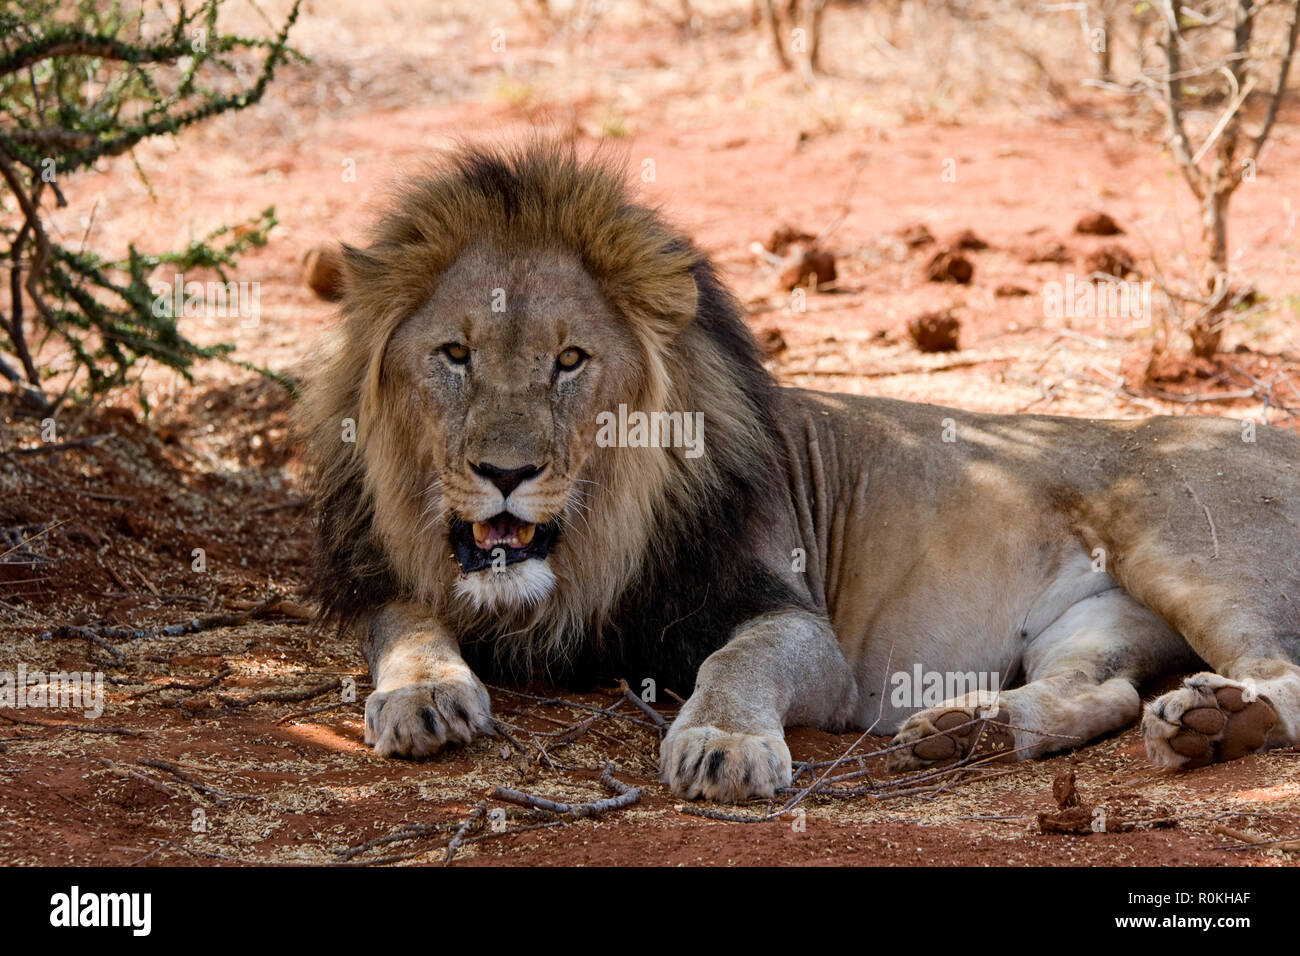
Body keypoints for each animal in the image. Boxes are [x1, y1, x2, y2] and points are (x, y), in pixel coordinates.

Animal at [300, 142, 1300, 802]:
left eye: (570, 361)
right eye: (456, 355)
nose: (505, 471)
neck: (589, 547)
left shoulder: (802, 629)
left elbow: (738, 659)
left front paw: (722, 744)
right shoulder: (390, 577)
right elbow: (406, 619)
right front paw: (423, 695)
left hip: (1177, 548)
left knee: (1278, 673)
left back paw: (1219, 723)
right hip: (1092, 625)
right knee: (1108, 690)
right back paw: (969, 731)